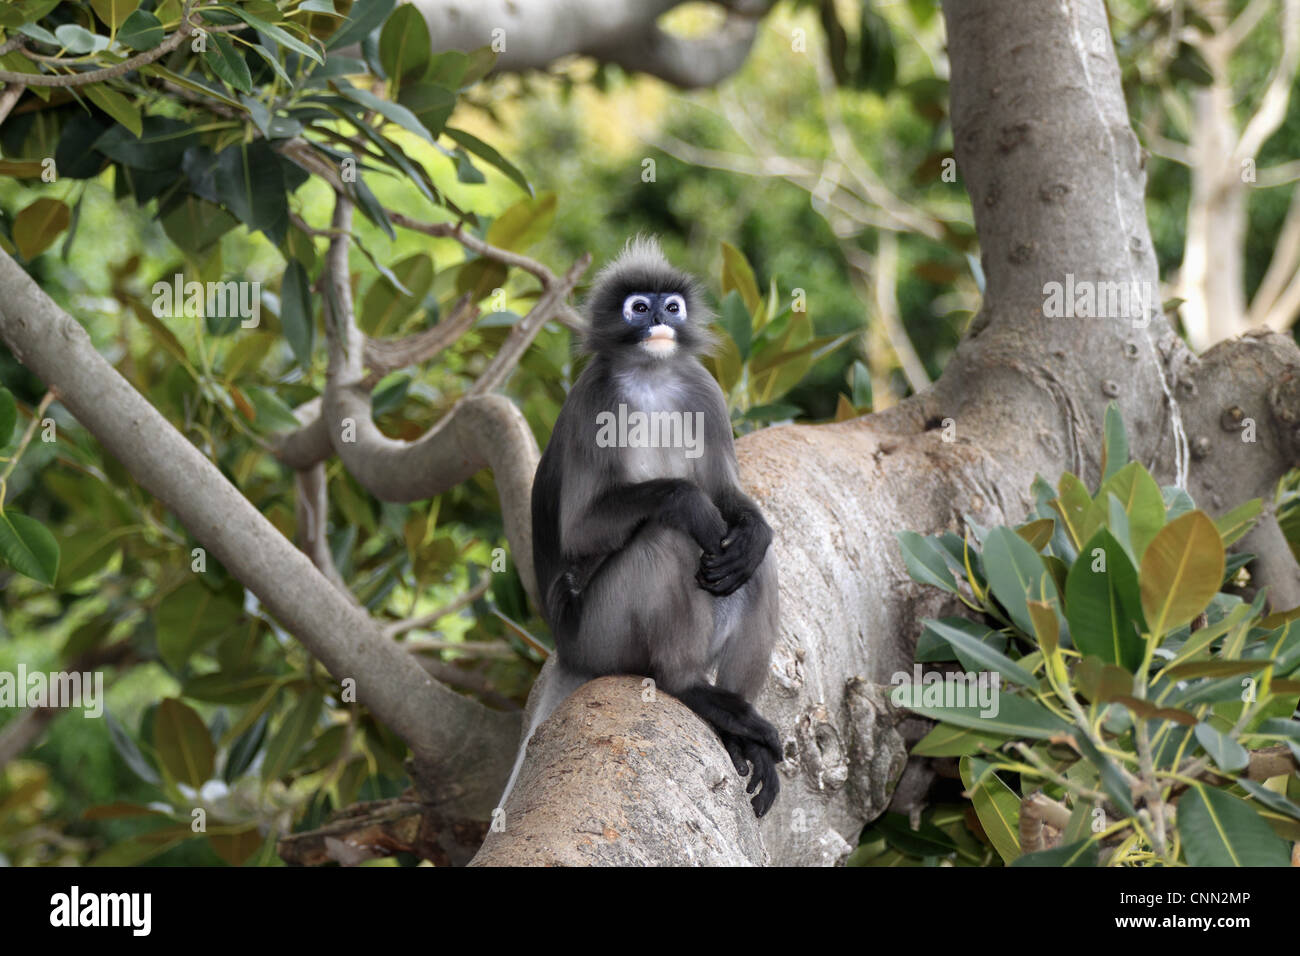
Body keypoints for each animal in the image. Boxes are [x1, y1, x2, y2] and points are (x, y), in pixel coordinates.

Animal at [499, 236, 782, 818]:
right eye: (637, 307)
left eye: (671, 306)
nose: (657, 320)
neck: (651, 378)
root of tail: (565, 649)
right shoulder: (596, 400)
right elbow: (582, 531)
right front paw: (691, 503)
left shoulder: (704, 392)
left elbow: (729, 499)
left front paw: (751, 529)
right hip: (602, 636)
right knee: (664, 537)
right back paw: (689, 687)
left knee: (753, 565)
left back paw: (740, 726)